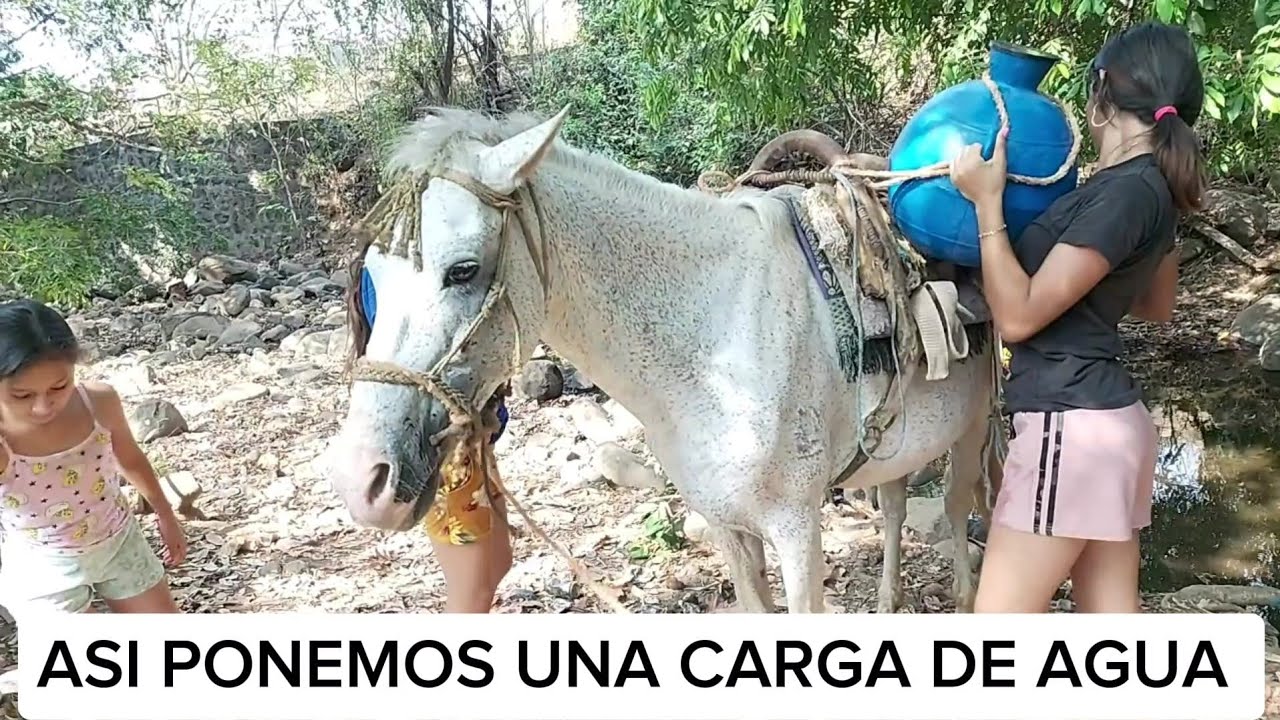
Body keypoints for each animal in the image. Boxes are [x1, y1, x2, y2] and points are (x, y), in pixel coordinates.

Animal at [325, 106, 1004, 614]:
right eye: (373, 275)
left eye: (463, 270)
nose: (364, 482)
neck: (715, 343)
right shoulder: (728, 525)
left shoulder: (795, 528)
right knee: (893, 507)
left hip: (971, 429)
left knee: (957, 505)